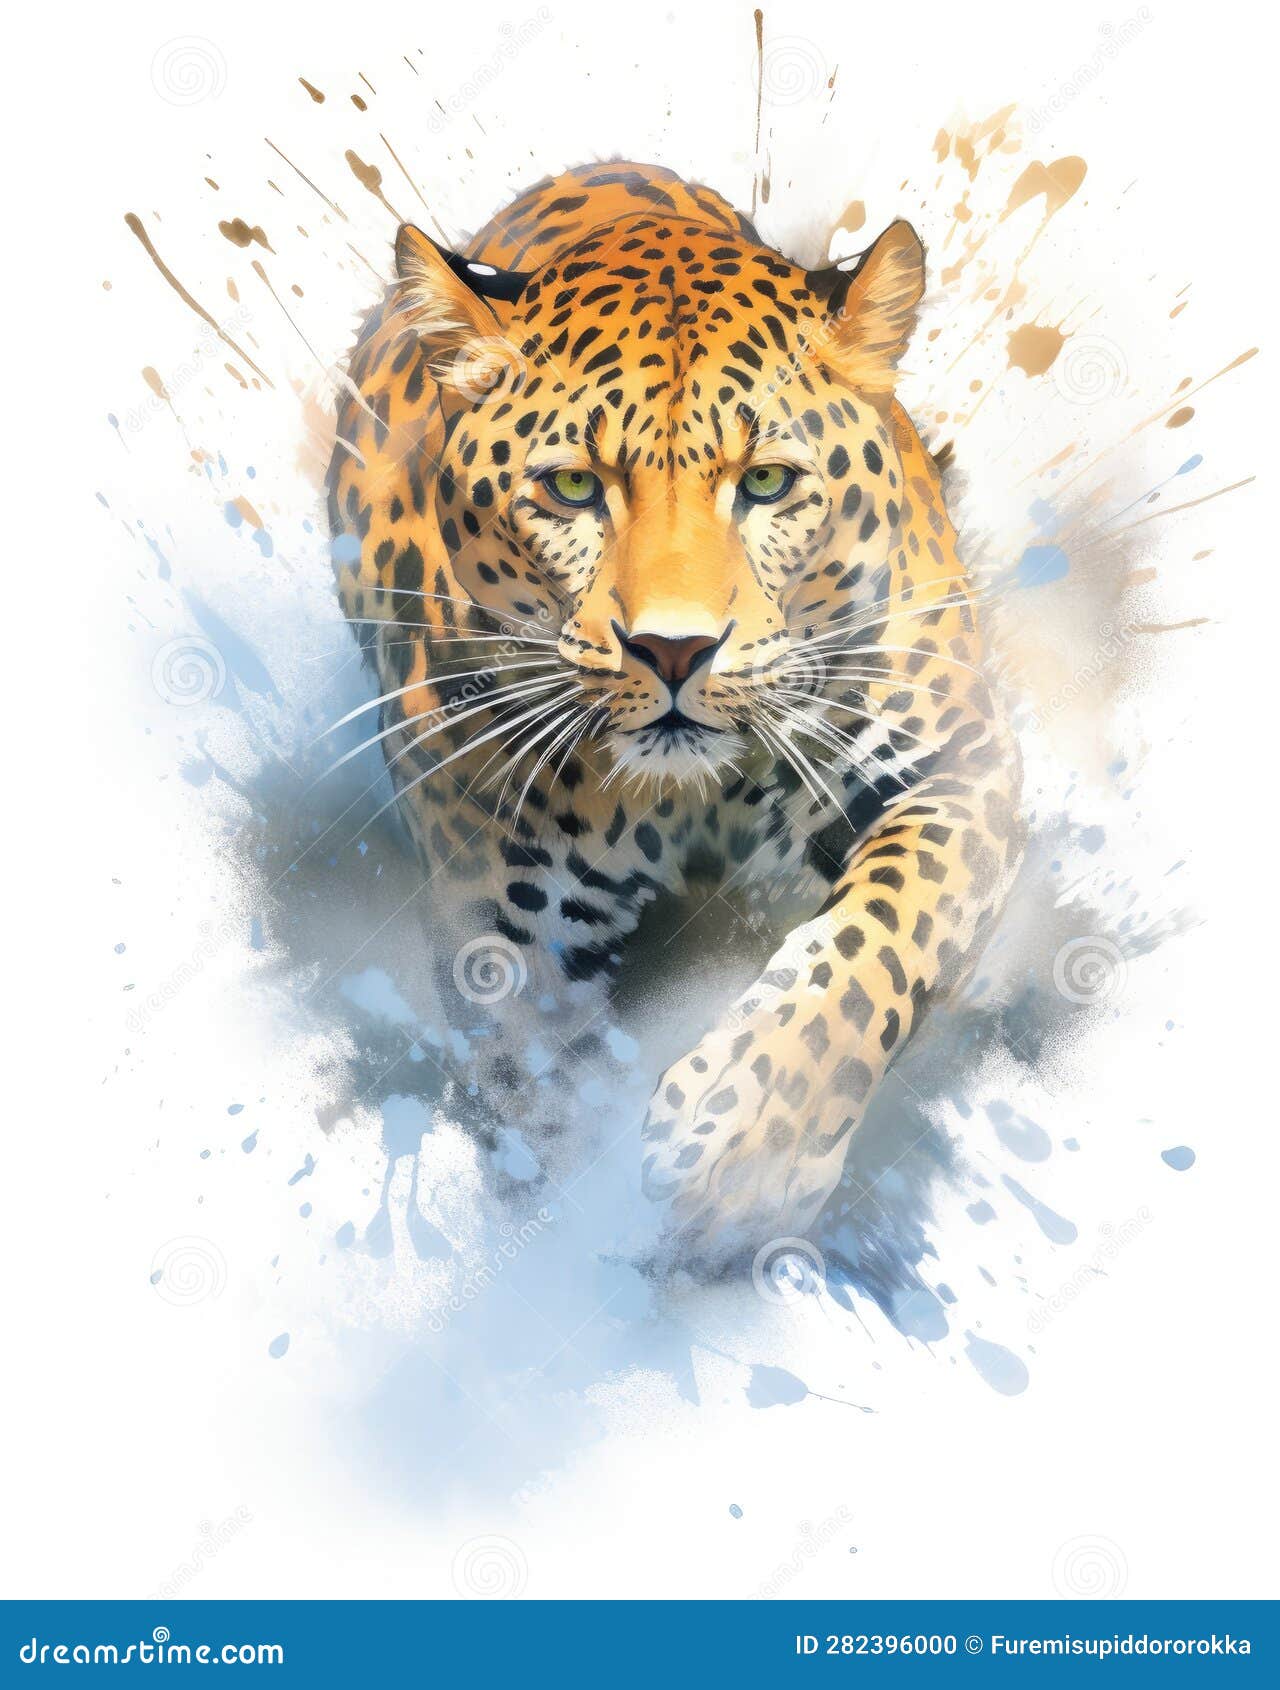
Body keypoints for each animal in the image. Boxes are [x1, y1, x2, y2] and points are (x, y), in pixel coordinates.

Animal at [325, 161, 1023, 1259]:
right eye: (573, 486)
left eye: (767, 481)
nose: (673, 650)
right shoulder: (511, 936)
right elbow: (551, 1111)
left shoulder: (955, 768)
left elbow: (882, 935)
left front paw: (742, 1145)